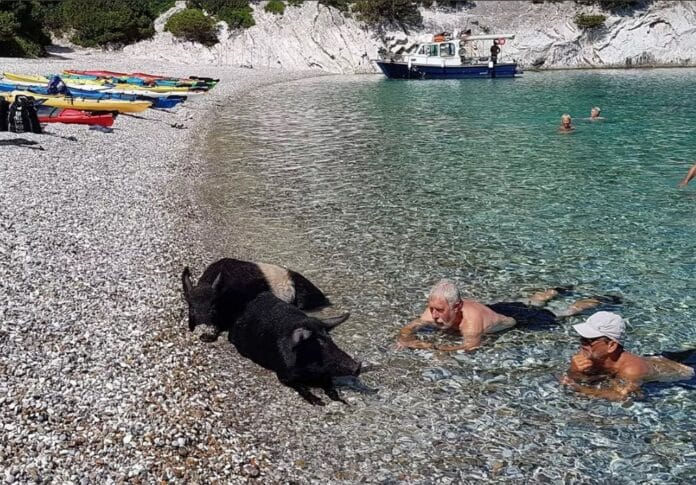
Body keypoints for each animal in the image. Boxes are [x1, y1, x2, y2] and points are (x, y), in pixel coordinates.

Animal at [229, 291, 361, 405]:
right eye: (319, 343)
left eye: (331, 340)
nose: (358, 366)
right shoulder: (283, 373)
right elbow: (299, 386)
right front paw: (319, 402)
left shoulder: (324, 373)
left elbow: (329, 385)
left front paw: (343, 401)